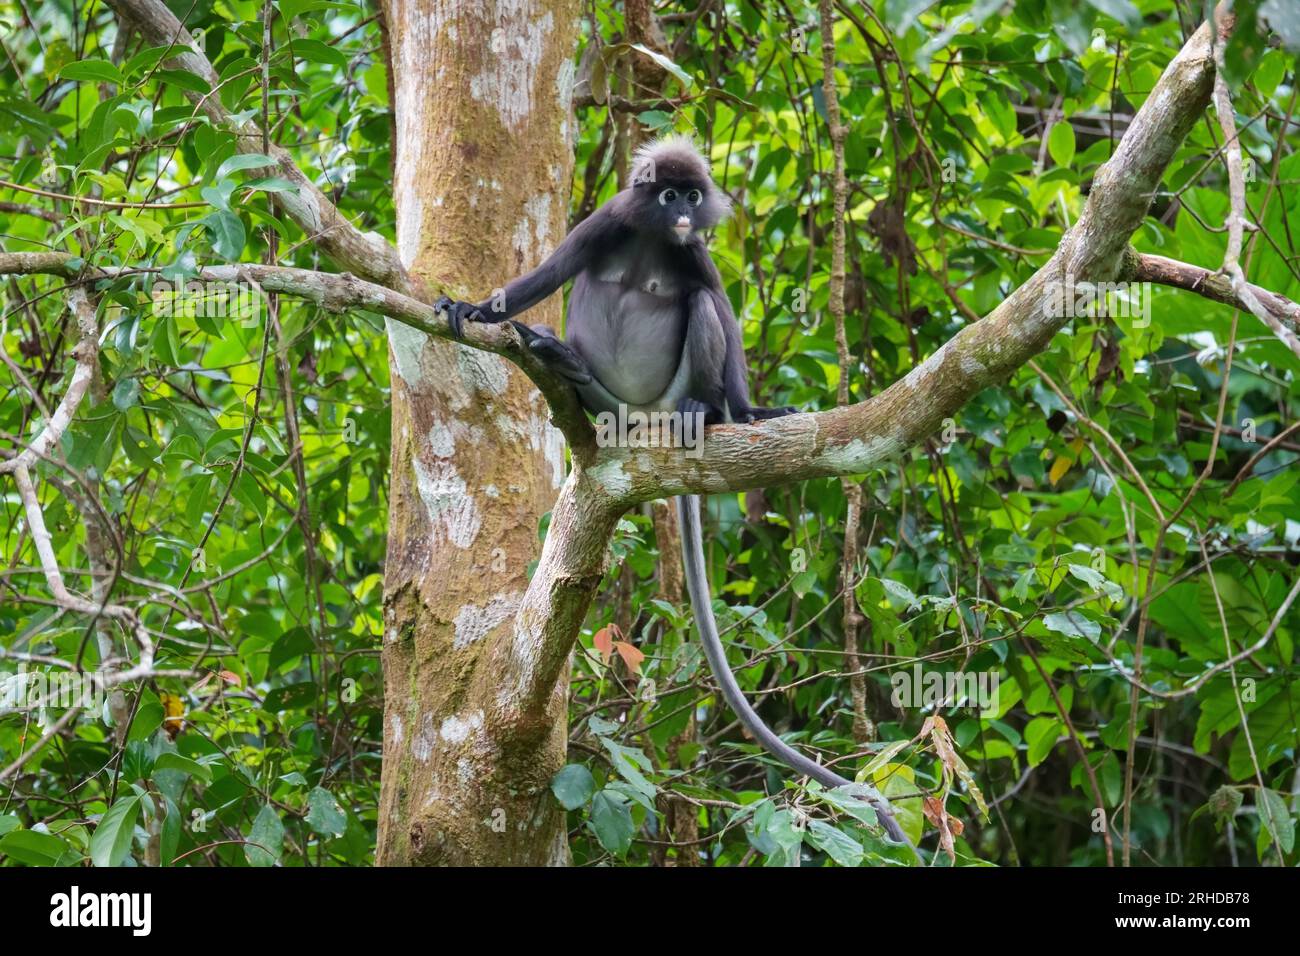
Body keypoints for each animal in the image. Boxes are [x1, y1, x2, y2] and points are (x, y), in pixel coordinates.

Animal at [437, 136, 913, 851]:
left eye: (692, 196)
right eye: (668, 195)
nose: (687, 213)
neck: (654, 238)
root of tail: (647, 420)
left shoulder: (693, 254)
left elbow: (717, 303)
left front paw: (751, 410)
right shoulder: (606, 222)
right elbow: (545, 277)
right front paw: (473, 309)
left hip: (681, 384)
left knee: (705, 311)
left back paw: (711, 414)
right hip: (615, 404)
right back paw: (566, 365)